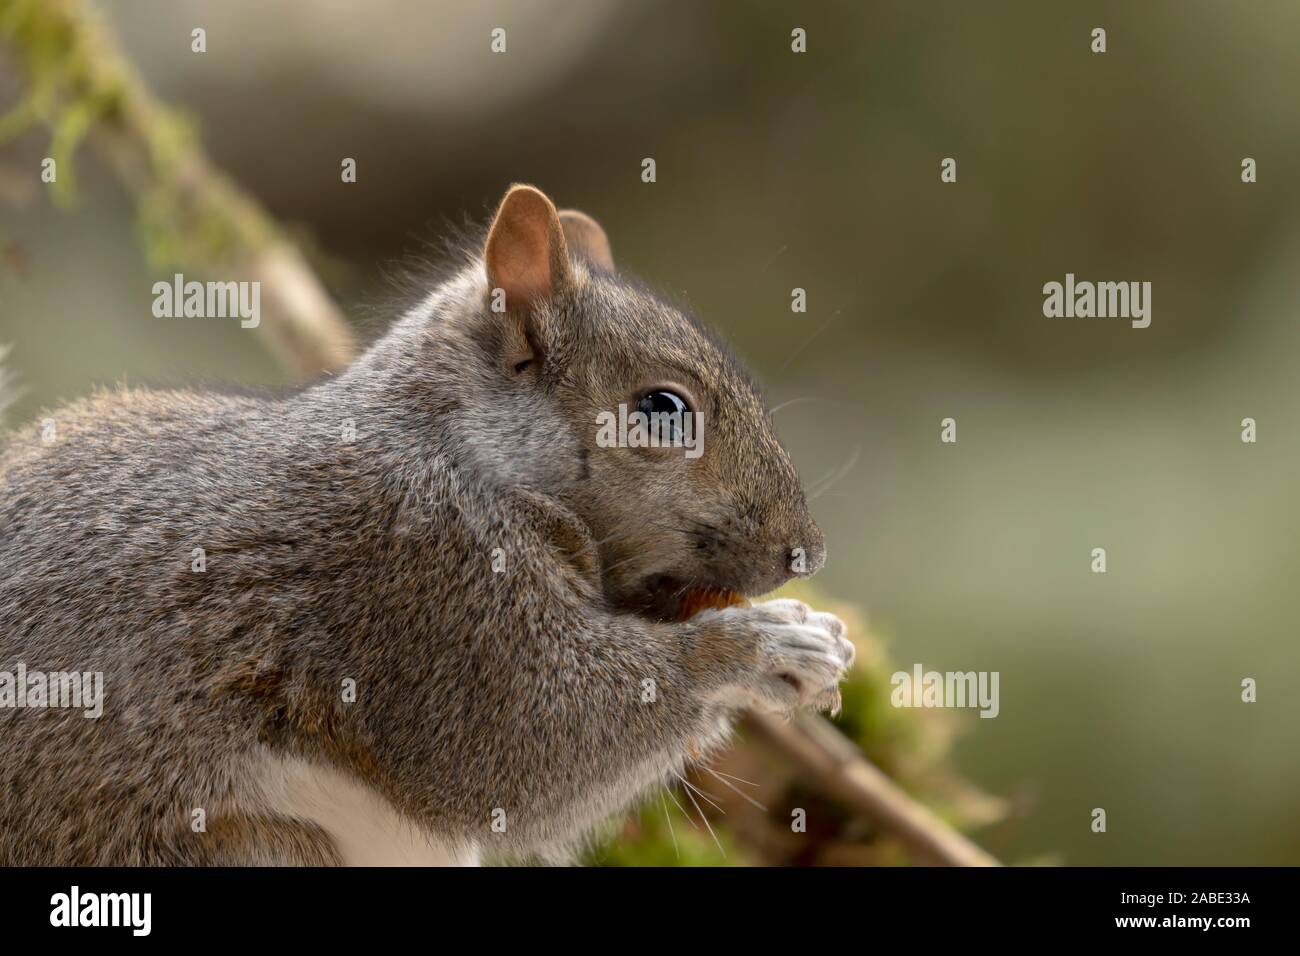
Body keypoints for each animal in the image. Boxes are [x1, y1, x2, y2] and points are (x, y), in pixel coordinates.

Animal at [0, 184, 852, 866]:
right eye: (663, 408)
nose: (803, 554)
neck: (458, 447)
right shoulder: (418, 579)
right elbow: (532, 742)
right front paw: (768, 644)